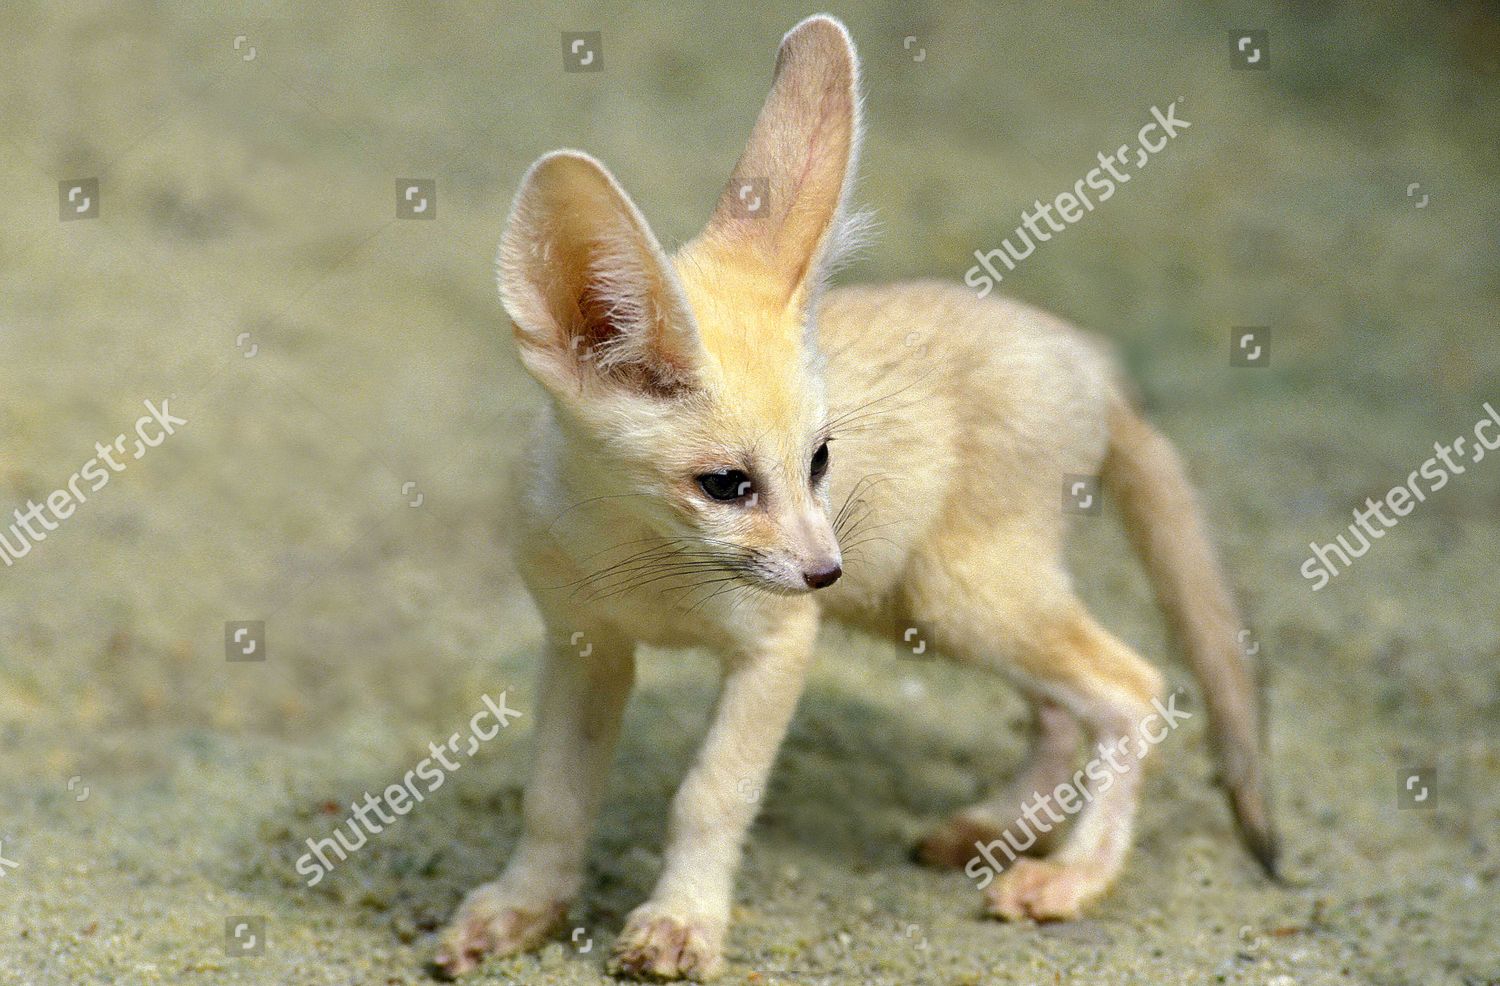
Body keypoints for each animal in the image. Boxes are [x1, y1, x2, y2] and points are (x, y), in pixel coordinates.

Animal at [436, 14, 1277, 981]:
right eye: (726, 484)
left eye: (820, 460)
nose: (823, 572)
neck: (645, 565)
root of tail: (1090, 356)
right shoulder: (585, 644)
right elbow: (555, 799)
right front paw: (522, 907)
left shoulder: (779, 647)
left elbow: (710, 795)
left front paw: (682, 920)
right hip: (930, 609)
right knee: (1063, 713)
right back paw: (994, 826)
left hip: (960, 598)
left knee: (1132, 689)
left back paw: (1070, 875)